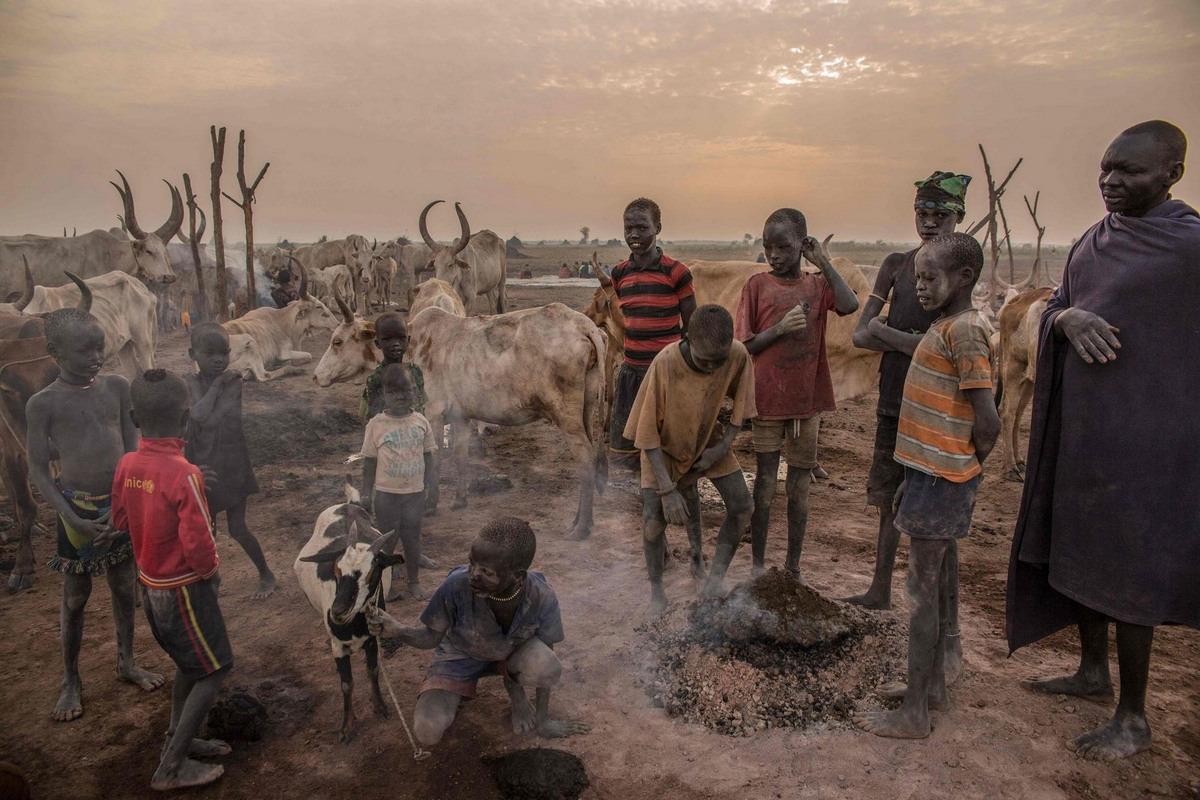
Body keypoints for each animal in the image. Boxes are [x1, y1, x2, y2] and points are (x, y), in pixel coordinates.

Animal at [292, 484, 405, 748]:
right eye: (336, 568)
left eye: (373, 573)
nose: (338, 611)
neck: (354, 625)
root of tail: (348, 504)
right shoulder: (339, 647)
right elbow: (346, 684)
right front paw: (346, 727)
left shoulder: (372, 638)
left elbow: (372, 670)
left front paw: (380, 707)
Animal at [405, 303, 609, 542]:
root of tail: (582, 322)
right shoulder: (460, 416)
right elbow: (459, 456)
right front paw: (460, 499)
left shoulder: (433, 413)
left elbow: (433, 462)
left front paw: (430, 504)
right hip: (586, 409)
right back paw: (580, 521)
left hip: (566, 414)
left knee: (586, 460)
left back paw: (581, 528)